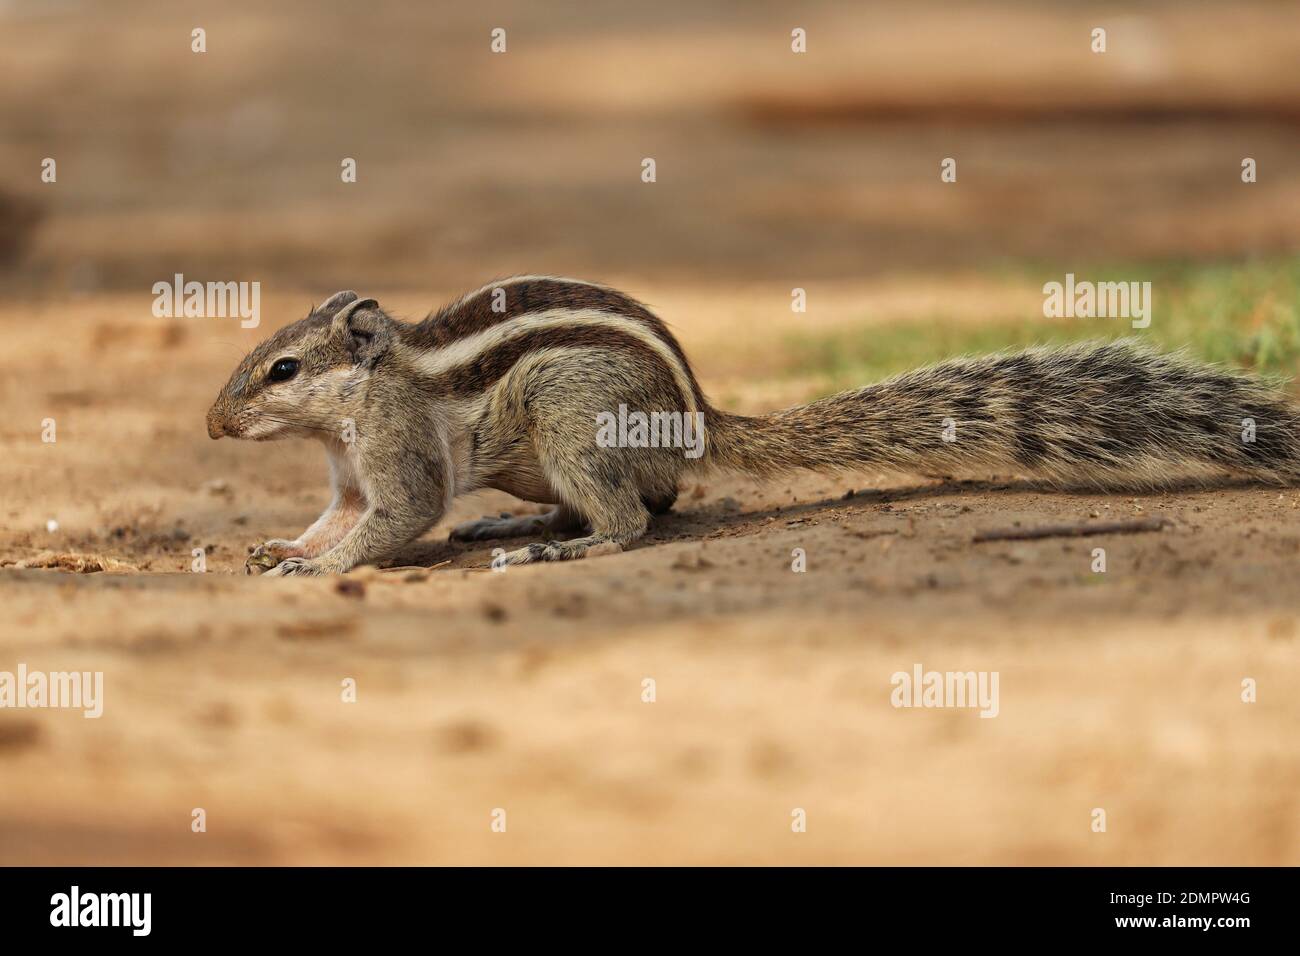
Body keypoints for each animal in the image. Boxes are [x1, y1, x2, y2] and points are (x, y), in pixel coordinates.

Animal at [206, 276, 1300, 576]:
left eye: (283, 369)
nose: (215, 423)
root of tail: (694, 422)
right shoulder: (345, 469)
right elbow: (334, 514)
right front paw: (279, 545)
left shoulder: (395, 449)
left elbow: (395, 518)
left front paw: (318, 567)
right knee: (645, 499)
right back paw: (518, 524)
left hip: (566, 415)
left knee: (634, 516)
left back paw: (567, 545)